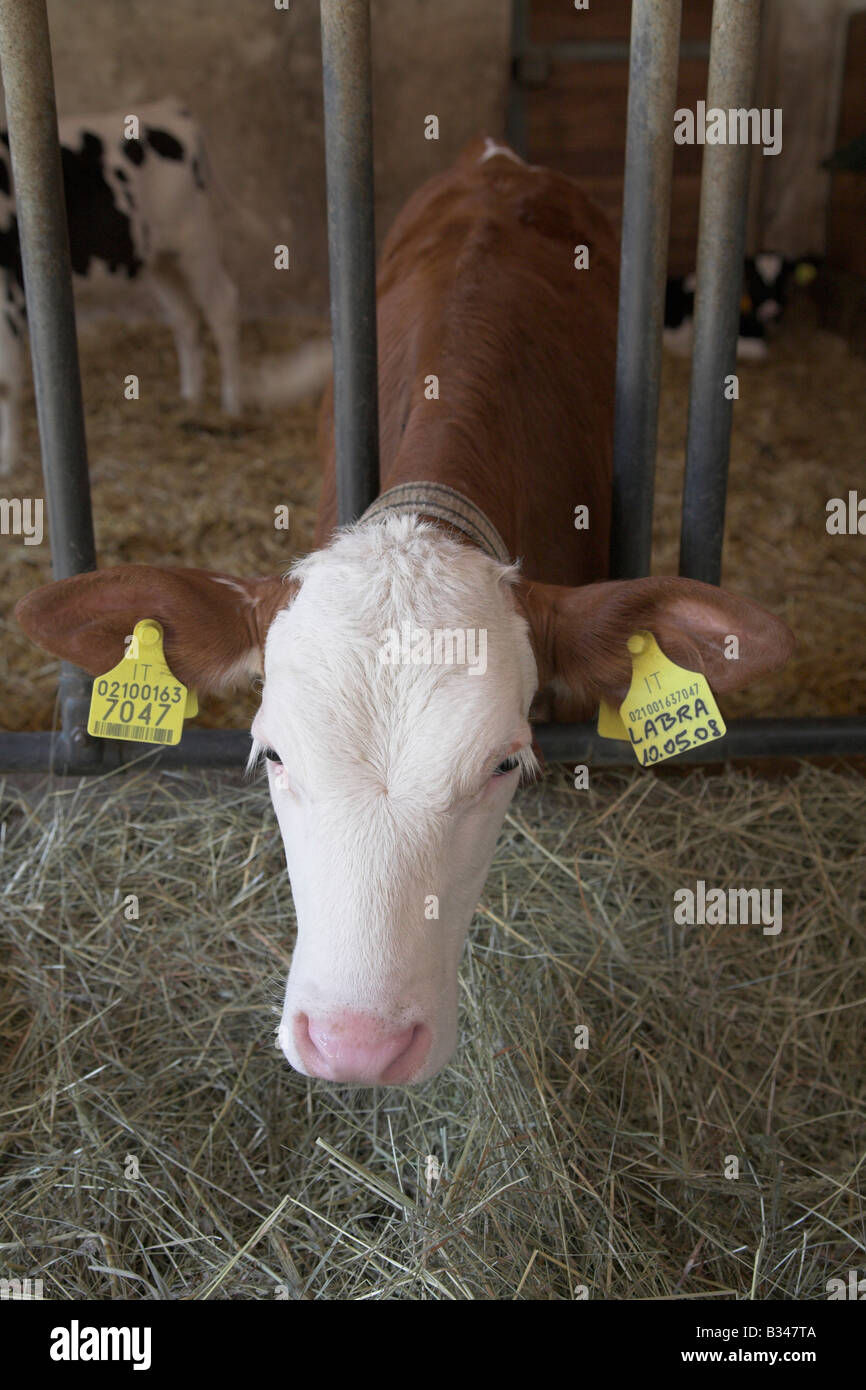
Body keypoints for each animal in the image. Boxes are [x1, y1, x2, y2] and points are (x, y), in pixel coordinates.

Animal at [0, 98, 240, 475]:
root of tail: (169, 108)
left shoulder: (8, 288)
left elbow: (6, 383)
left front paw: (8, 459)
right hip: (157, 258)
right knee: (184, 316)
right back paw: (190, 397)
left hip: (193, 238)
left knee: (221, 305)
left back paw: (231, 405)